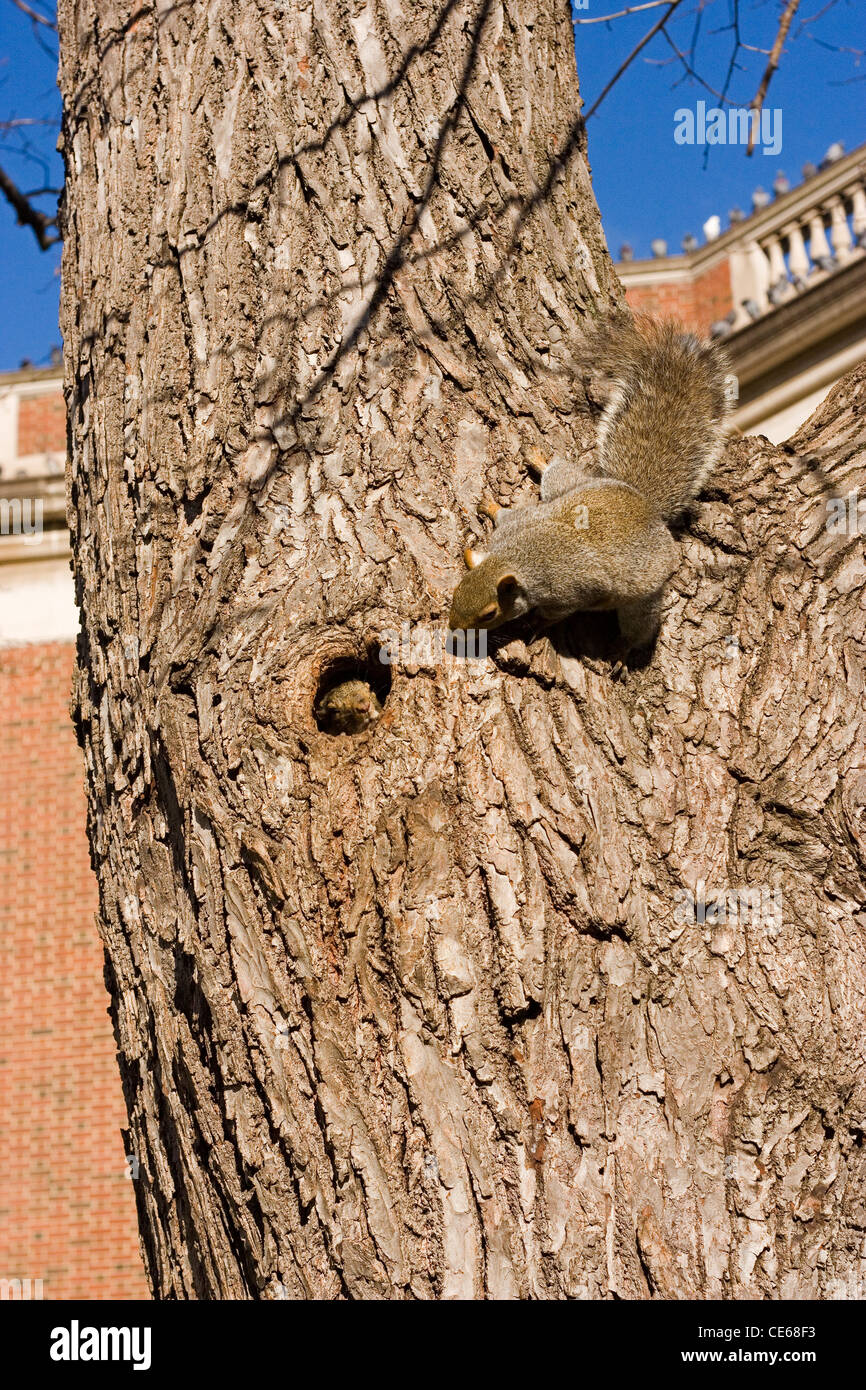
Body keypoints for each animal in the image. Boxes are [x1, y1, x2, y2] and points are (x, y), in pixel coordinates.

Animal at [448, 316, 732, 652]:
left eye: (489, 613)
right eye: (457, 590)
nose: (453, 627)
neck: (515, 559)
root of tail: (644, 503)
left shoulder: (567, 595)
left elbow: (557, 613)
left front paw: (537, 624)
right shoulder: (515, 526)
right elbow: (506, 515)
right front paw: (490, 508)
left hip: (642, 593)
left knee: (640, 622)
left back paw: (625, 648)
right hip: (571, 486)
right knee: (560, 476)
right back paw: (539, 460)